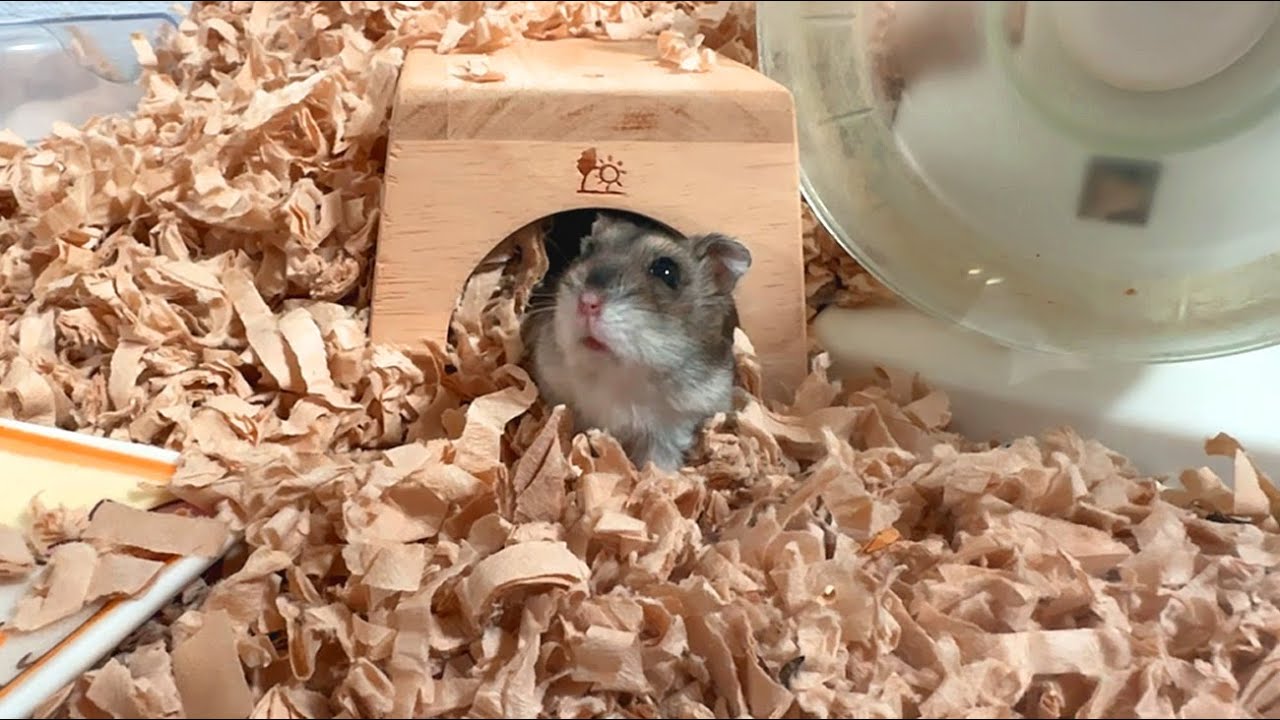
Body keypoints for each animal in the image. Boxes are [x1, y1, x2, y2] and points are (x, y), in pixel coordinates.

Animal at [522, 211, 752, 472]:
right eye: (588, 250)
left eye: (666, 271)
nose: (588, 302)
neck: (615, 376)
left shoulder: (672, 429)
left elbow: (656, 463)